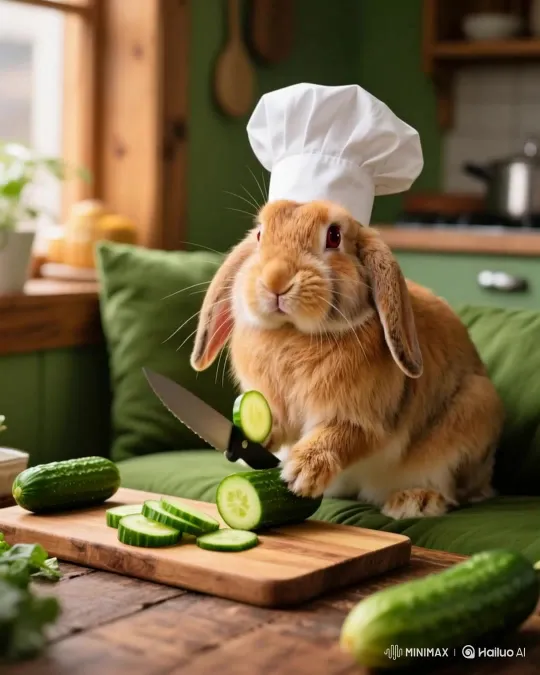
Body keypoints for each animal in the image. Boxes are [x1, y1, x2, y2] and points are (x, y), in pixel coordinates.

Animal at [190, 199, 504, 519]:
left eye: (334, 236)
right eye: (259, 235)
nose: (275, 279)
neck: (294, 333)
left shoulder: (364, 418)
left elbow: (341, 435)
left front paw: (302, 474)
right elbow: (275, 423)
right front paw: (256, 437)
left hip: (473, 413)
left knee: (458, 492)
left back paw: (414, 501)